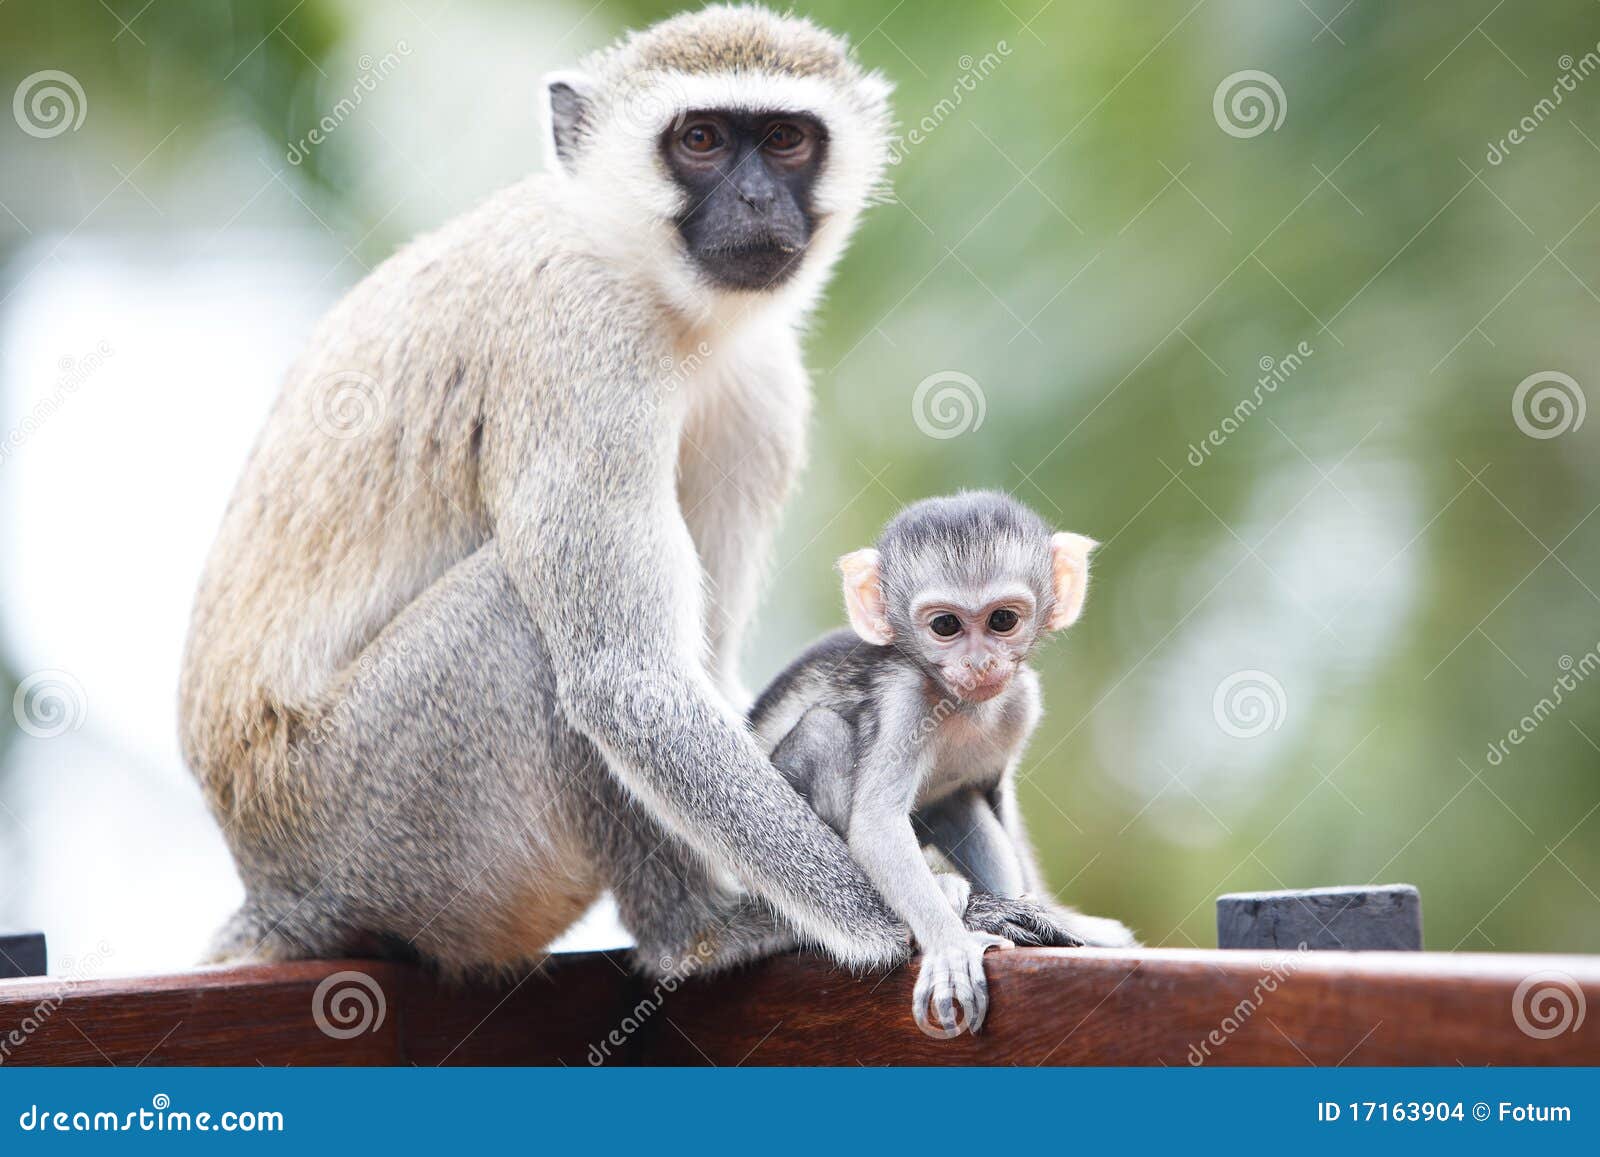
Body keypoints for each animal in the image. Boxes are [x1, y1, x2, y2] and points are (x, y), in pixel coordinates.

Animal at [749, 491, 1137, 1037]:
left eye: (1002, 621)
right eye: (945, 626)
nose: (979, 664)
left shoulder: (1021, 703)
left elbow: (994, 801)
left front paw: (1060, 918)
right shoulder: (904, 702)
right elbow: (876, 828)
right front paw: (951, 945)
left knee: (960, 800)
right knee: (826, 731)